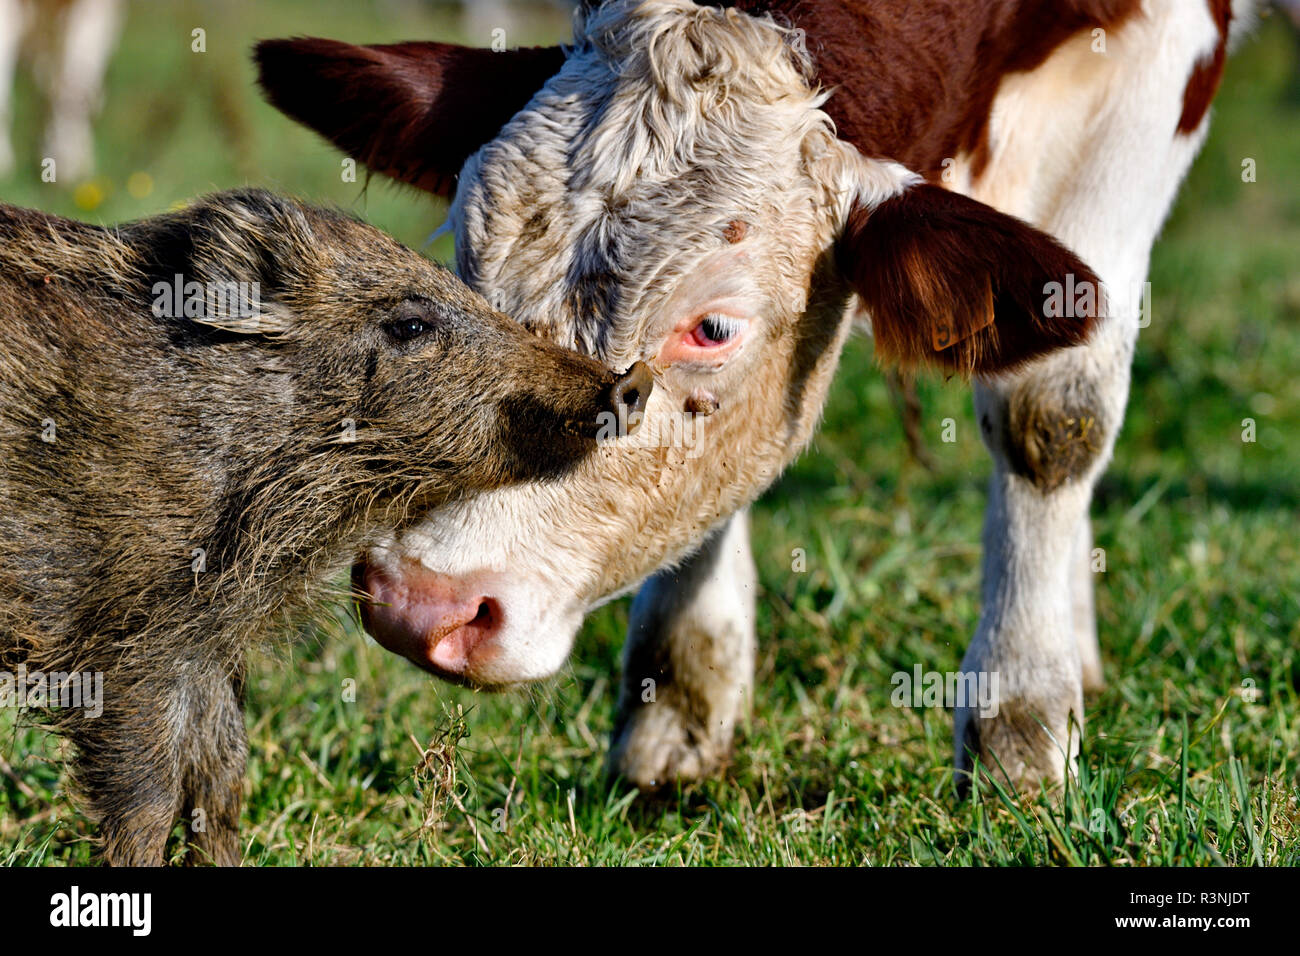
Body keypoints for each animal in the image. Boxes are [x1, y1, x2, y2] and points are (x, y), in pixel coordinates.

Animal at [256, 0, 1253, 792]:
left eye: (713, 328)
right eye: (466, 260)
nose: (422, 602)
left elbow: (1052, 410)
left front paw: (1021, 728)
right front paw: (675, 704)